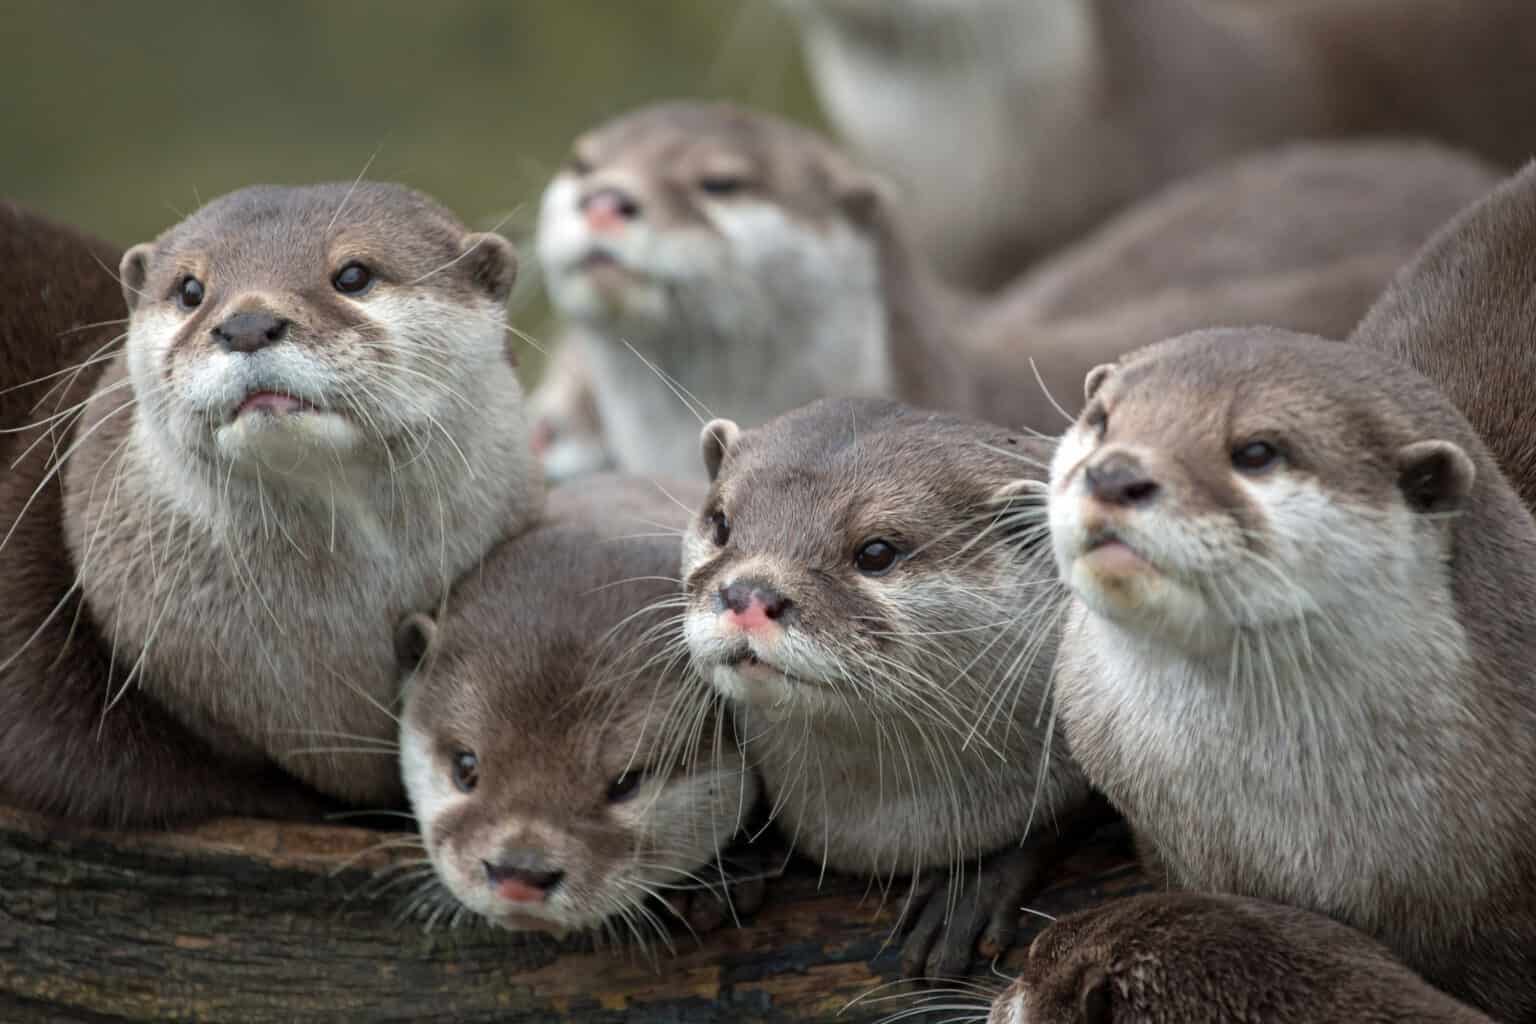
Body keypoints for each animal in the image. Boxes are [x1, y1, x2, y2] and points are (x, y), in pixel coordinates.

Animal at [680, 397, 1103, 977]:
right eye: (721, 524)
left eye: (876, 552)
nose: (747, 592)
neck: (874, 832)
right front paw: (729, 859)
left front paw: (969, 888)